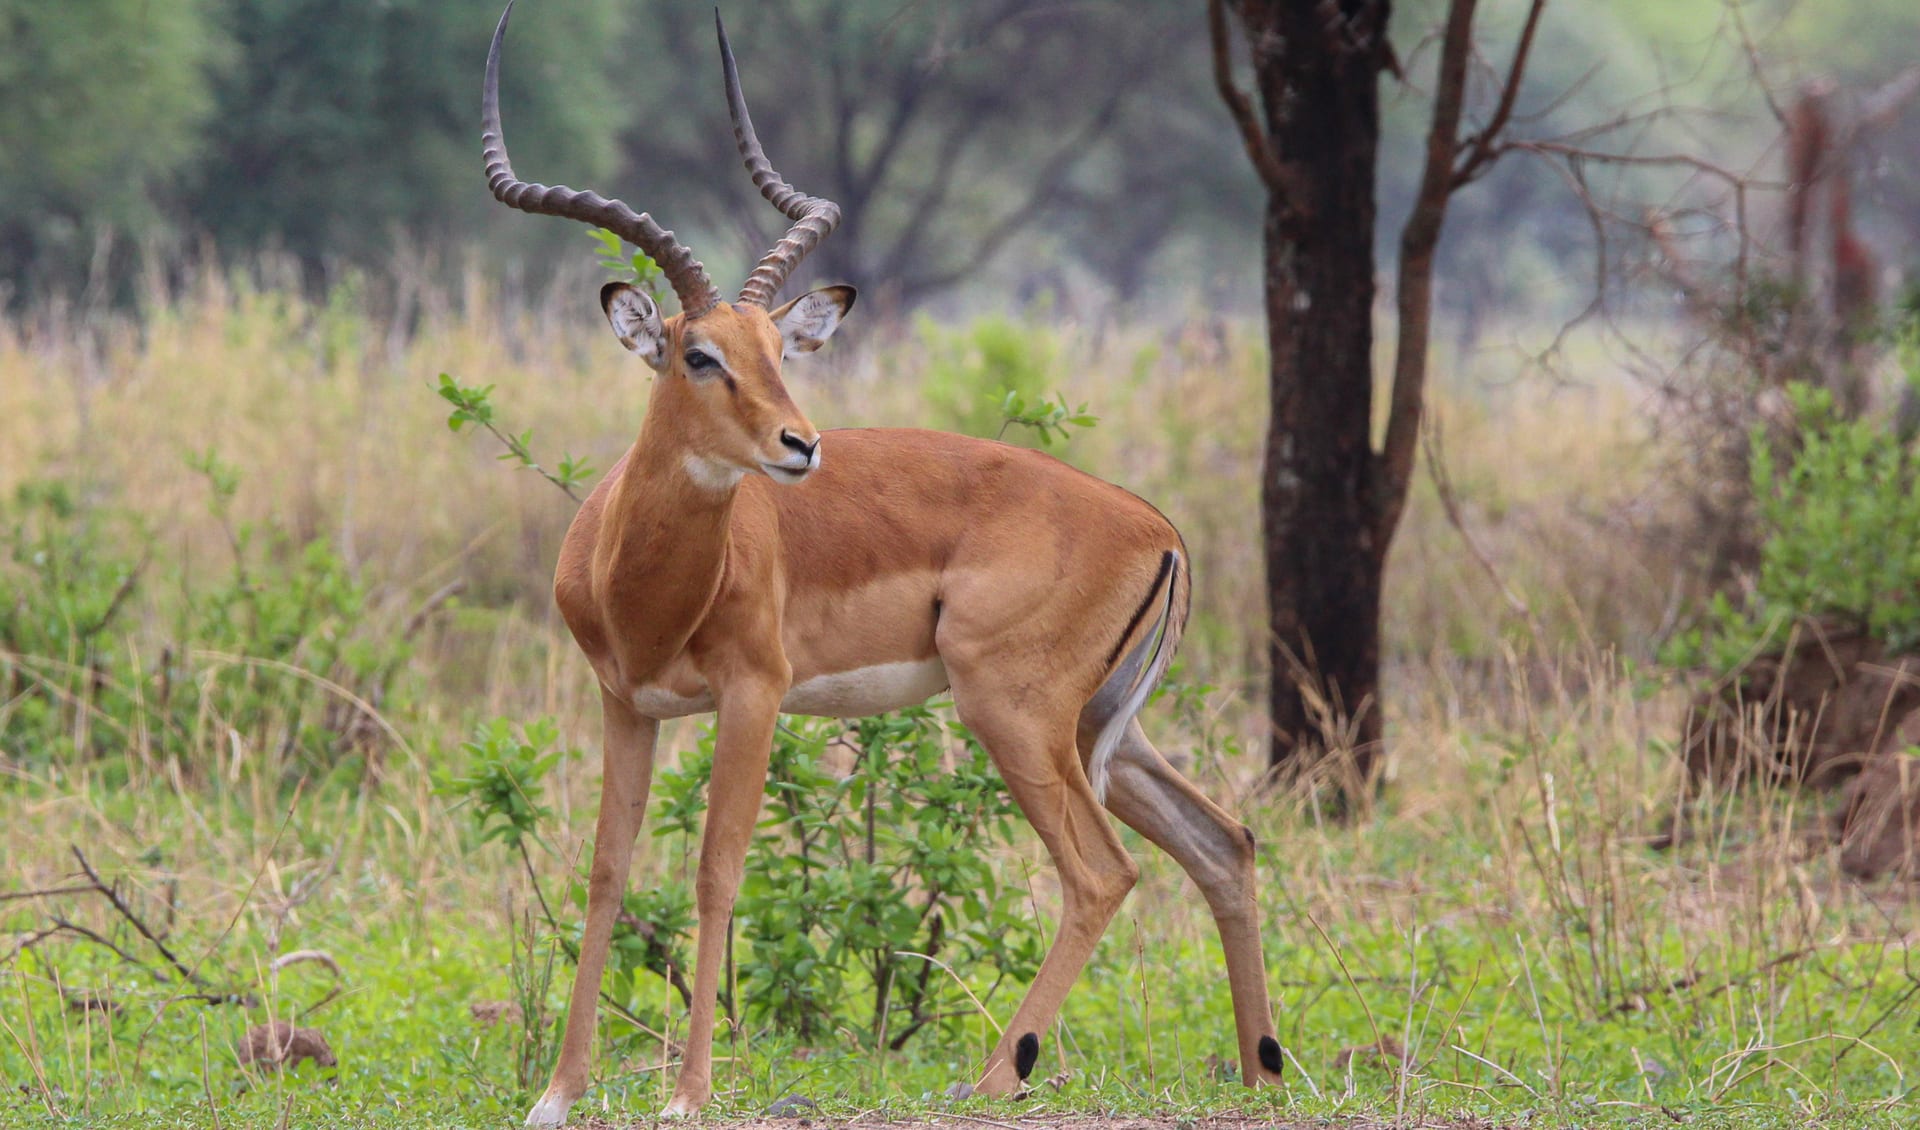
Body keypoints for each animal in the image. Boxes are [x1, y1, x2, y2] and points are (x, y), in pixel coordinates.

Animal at [482, 4, 1283, 1123]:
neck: (642, 579)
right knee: (1222, 840)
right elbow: (605, 870)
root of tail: (1158, 527)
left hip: (1014, 713)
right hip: (1096, 727)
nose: (799, 445)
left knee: (1102, 872)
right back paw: (1258, 1069)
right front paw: (557, 1092)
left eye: (780, 348)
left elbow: (717, 870)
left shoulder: (755, 693)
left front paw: (688, 1093)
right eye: (700, 353)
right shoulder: (624, 701)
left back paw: (992, 1075)